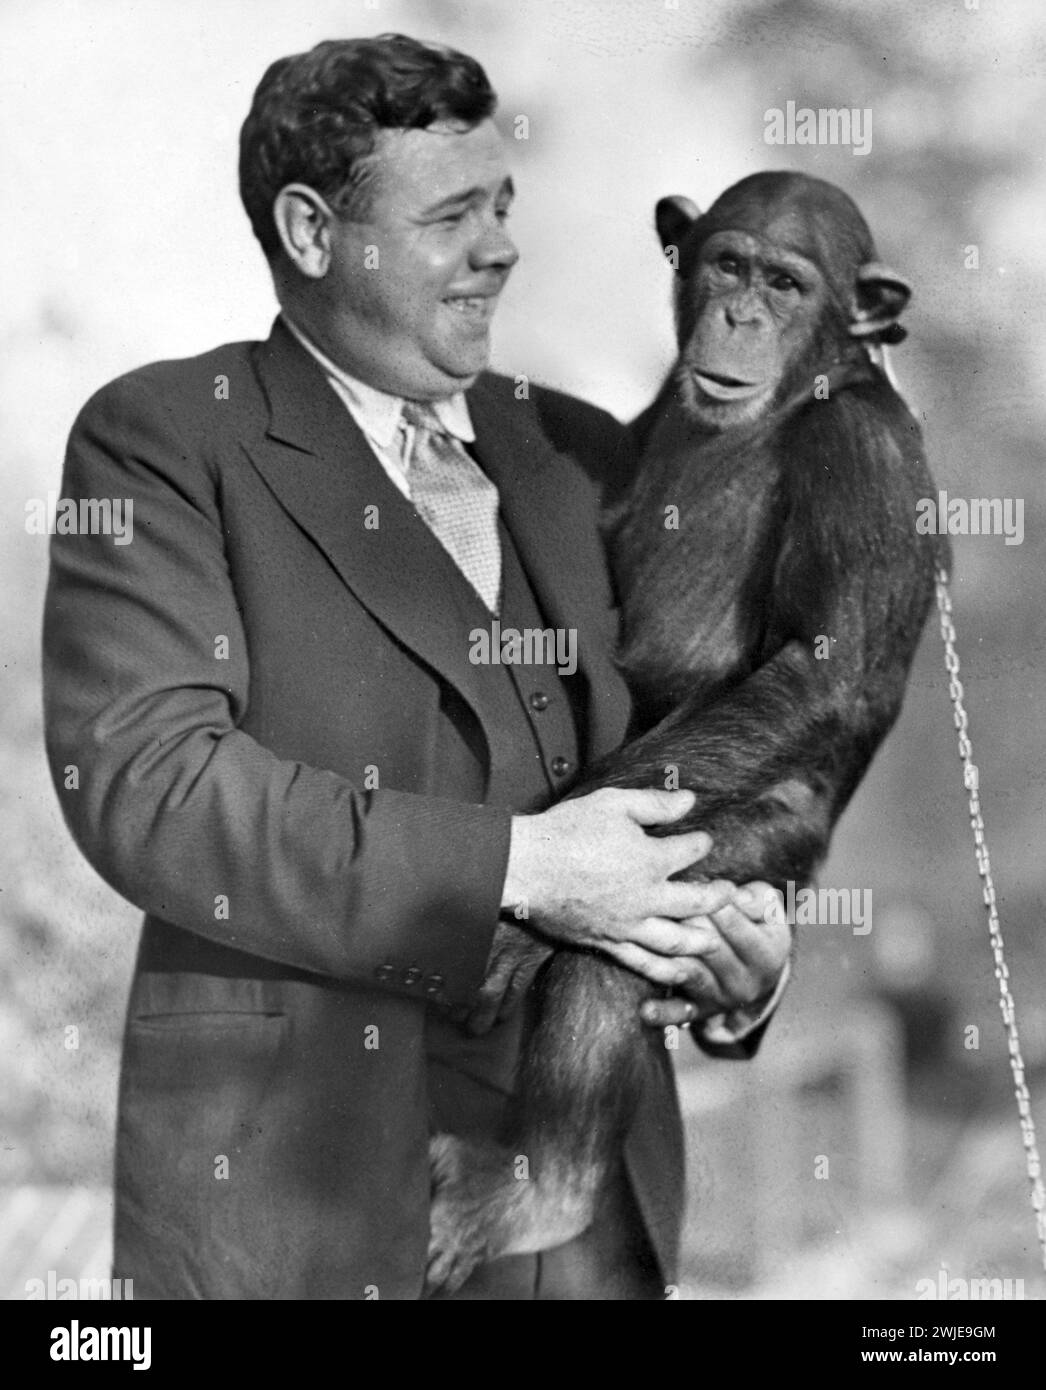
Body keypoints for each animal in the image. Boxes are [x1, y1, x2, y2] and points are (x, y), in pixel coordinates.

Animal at [424, 171, 949, 1296]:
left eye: (786, 284)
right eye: (727, 265)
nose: (741, 315)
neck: (805, 390)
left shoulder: (868, 454)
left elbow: (822, 670)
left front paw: (505, 930)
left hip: (754, 848)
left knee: (619, 933)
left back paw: (543, 1186)